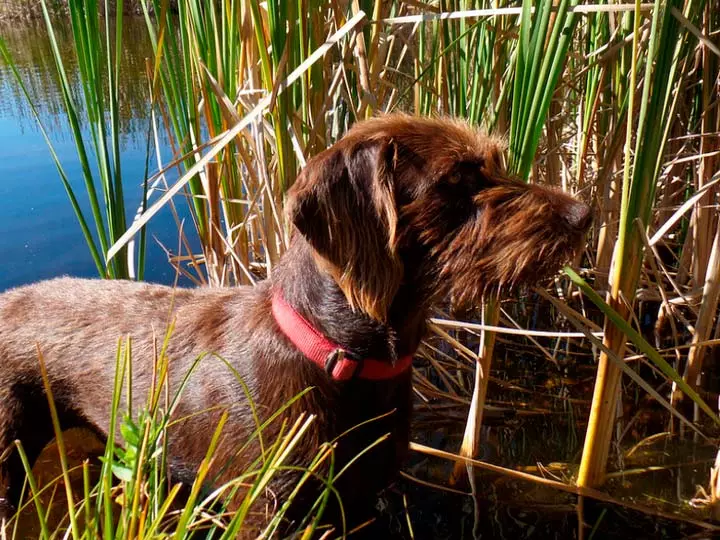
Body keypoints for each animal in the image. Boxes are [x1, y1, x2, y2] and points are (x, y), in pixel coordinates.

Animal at [0, 116, 588, 532]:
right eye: (456, 180)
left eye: (493, 164)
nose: (583, 215)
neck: (338, 356)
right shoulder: (264, 508)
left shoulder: (361, 502)